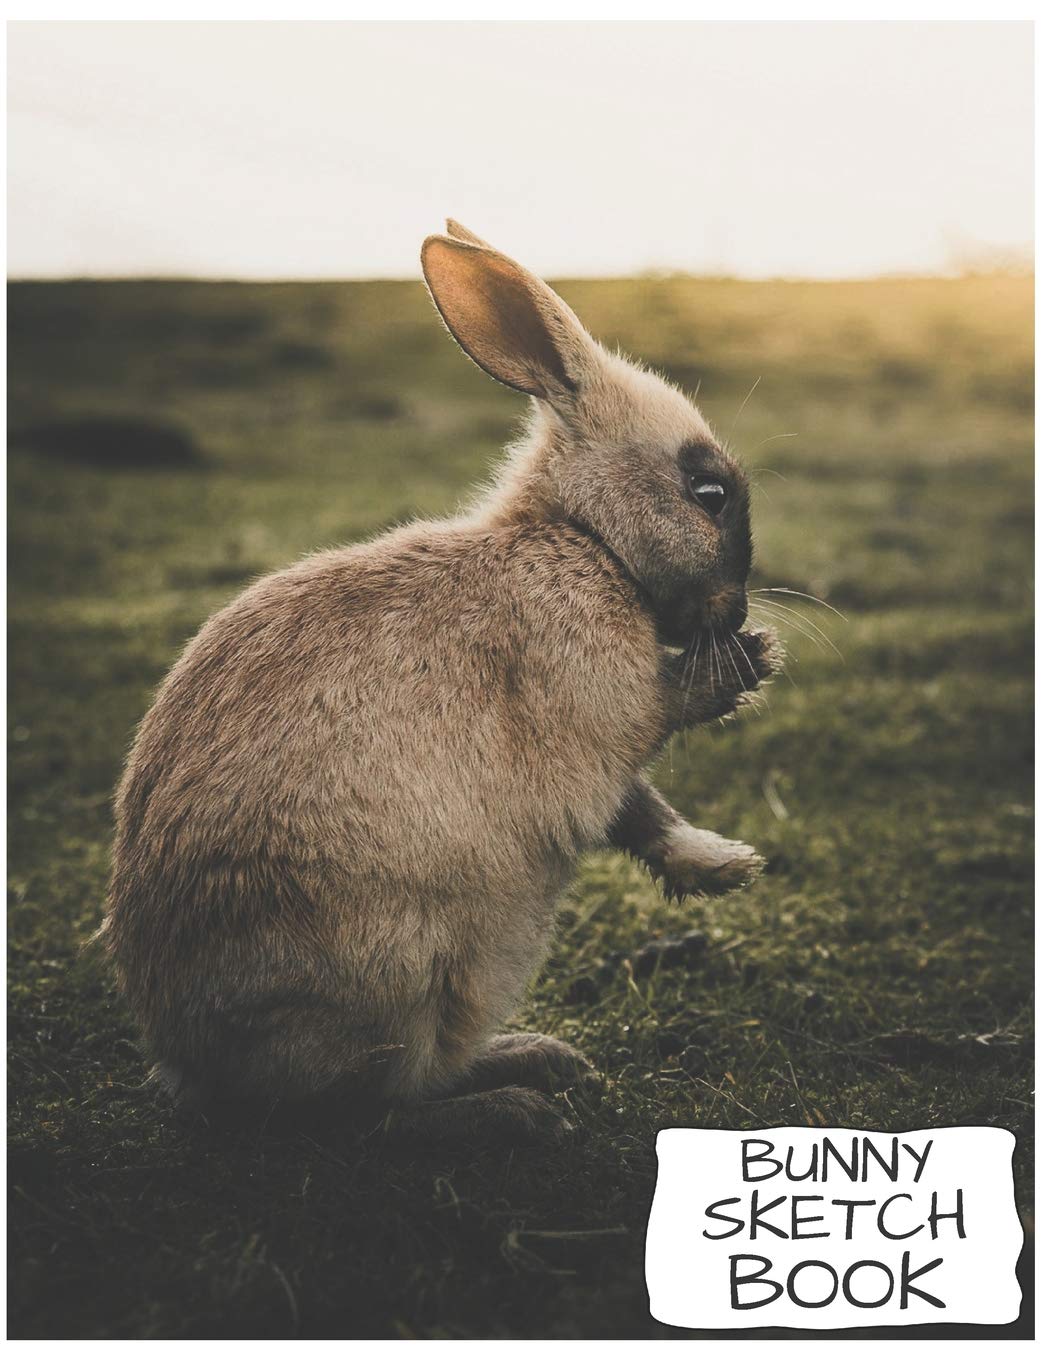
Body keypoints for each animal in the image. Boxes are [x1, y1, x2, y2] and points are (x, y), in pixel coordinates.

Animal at [99, 220, 780, 1145]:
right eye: (707, 493)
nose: (736, 608)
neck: (583, 540)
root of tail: (190, 1066)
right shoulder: (600, 707)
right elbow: (662, 718)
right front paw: (753, 660)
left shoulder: (597, 769)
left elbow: (644, 814)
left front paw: (724, 868)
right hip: (397, 984)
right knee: (362, 1115)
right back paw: (520, 1109)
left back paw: (545, 1060)